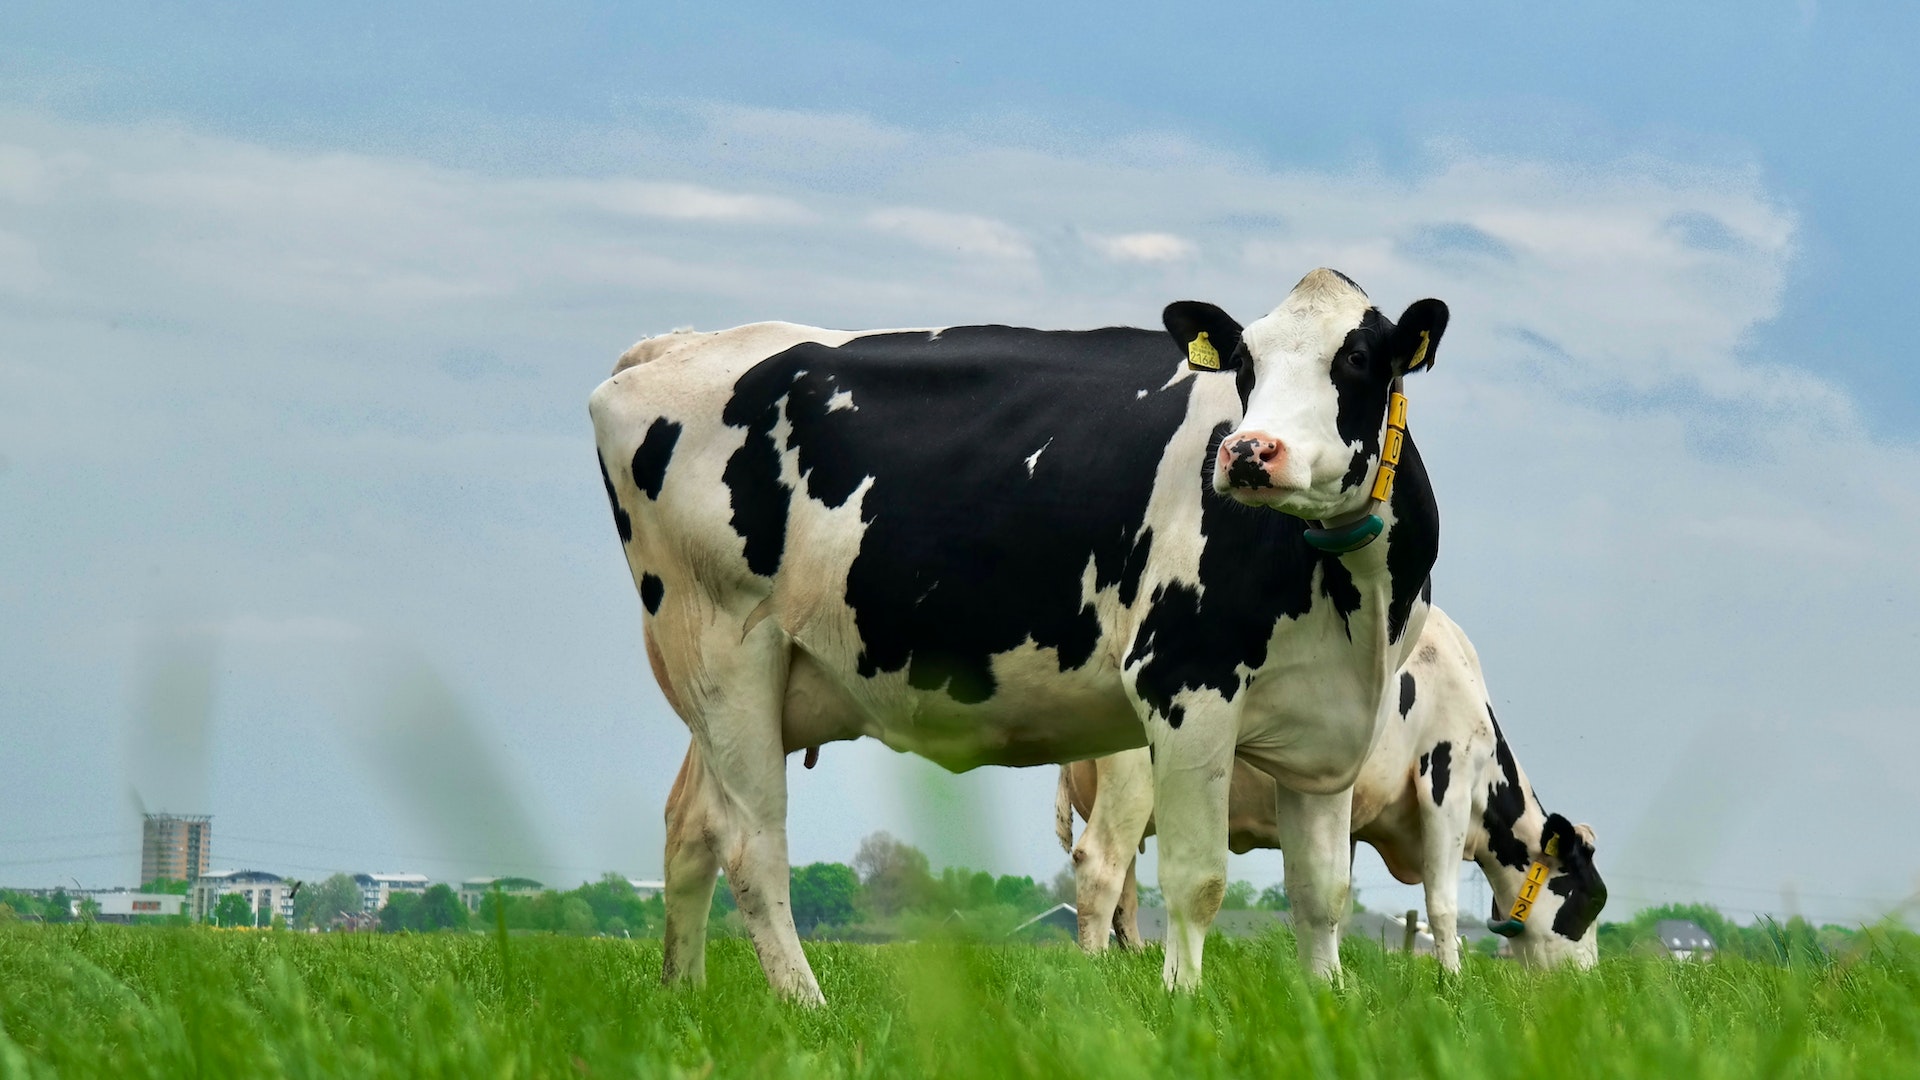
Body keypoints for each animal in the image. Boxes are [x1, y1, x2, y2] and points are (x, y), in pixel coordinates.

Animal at [588, 268, 1450, 1002]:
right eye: (1244, 362)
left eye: (1358, 358)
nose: (1247, 452)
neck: (1353, 602)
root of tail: (677, 346)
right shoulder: (1184, 681)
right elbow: (1197, 878)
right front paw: (1183, 1004)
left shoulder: (1326, 725)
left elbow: (1322, 894)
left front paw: (1325, 1004)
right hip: (723, 649)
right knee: (751, 843)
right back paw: (806, 1004)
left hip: (739, 683)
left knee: (692, 827)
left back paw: (684, 992)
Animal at [1056, 607, 1607, 970]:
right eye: (1589, 900)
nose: (1588, 982)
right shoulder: (1446, 783)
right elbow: (1442, 904)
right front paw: (1453, 980)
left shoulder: (1355, 817)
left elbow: (1331, 893)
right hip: (1133, 782)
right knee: (1101, 865)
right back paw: (1095, 970)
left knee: (1124, 890)